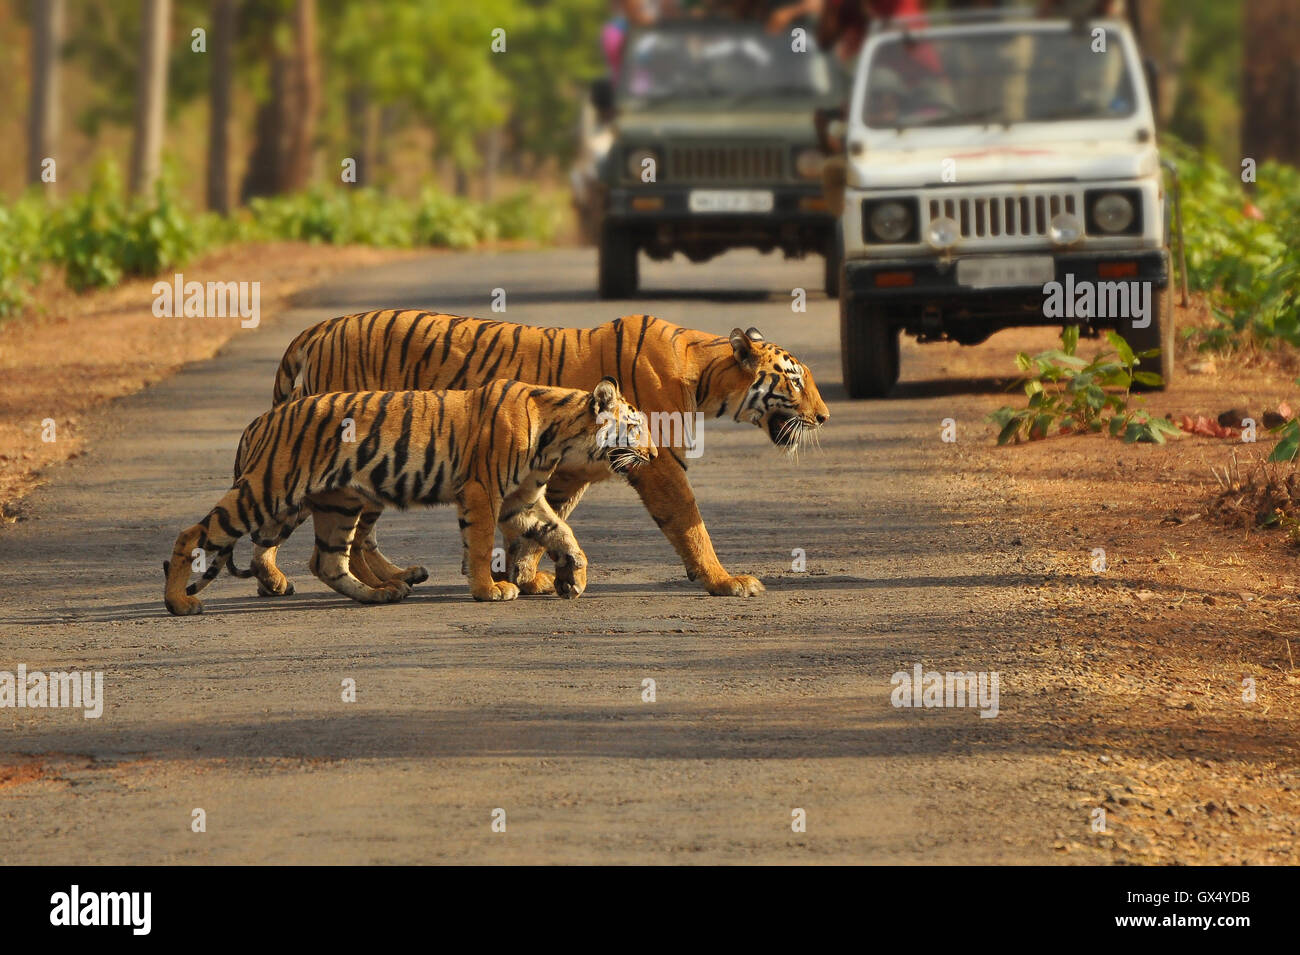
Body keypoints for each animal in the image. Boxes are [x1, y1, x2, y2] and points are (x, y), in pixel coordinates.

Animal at [162, 377, 655, 616]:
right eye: (634, 427)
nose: (652, 455)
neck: (559, 437)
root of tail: (260, 420)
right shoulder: (483, 492)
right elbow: (480, 546)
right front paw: (489, 590)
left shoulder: (522, 499)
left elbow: (562, 532)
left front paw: (574, 577)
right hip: (267, 490)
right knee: (193, 535)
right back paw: (179, 603)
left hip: (336, 503)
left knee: (327, 561)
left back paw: (381, 593)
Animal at [253, 310, 829, 600]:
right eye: (795, 380)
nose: (825, 417)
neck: (703, 373)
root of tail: (318, 329)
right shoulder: (660, 464)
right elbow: (689, 523)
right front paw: (724, 581)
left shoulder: (564, 471)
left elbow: (537, 525)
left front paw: (530, 578)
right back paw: (283, 580)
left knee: (354, 536)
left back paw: (392, 580)